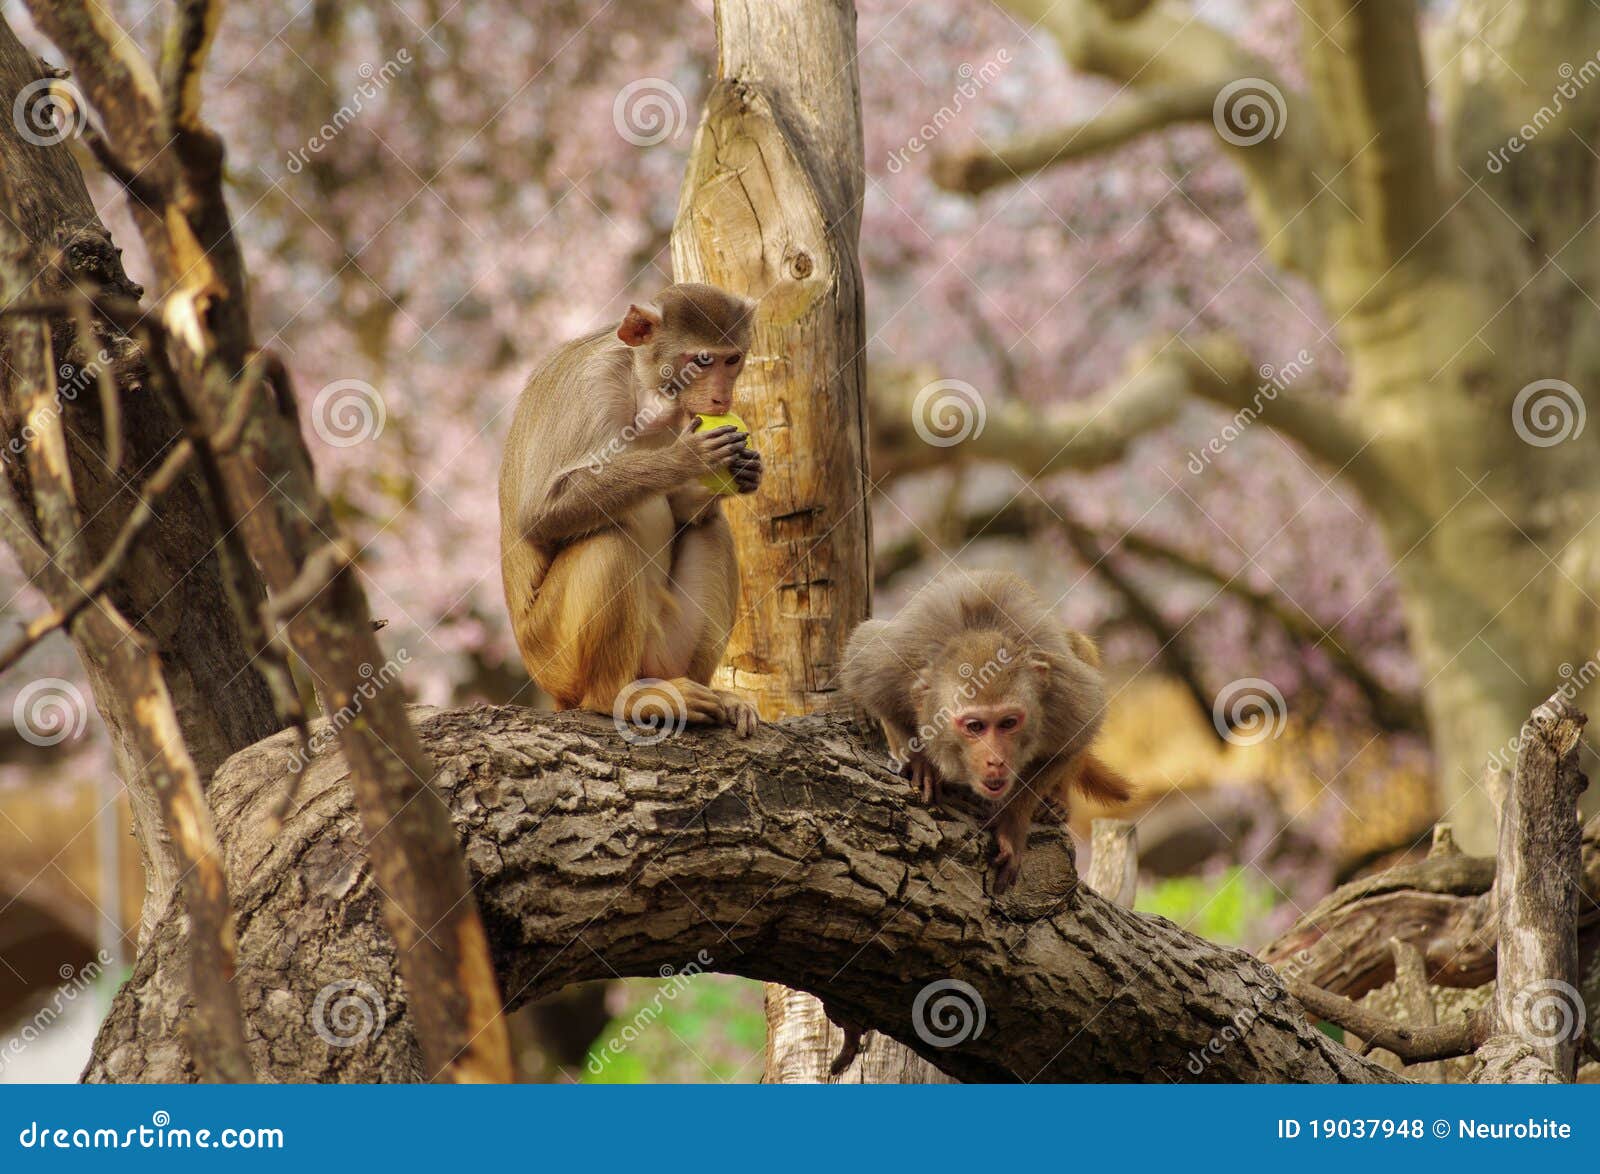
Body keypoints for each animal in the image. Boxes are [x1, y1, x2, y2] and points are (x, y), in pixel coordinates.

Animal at [498, 282, 765, 737]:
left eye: (733, 359)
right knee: (608, 541)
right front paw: (687, 459)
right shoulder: (593, 387)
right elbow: (538, 514)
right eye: (702, 359)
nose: (721, 397)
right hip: (552, 655)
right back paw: (616, 698)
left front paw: (747, 470)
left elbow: (683, 511)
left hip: (662, 652)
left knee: (710, 526)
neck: (642, 386)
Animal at [840, 570, 1131, 893]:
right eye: (975, 726)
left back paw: (1056, 799)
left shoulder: (1066, 697)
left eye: (1008, 723)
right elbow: (869, 679)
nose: (996, 760)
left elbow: (1076, 738)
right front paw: (921, 762)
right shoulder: (889, 667)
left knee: (1081, 647)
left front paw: (1012, 823)